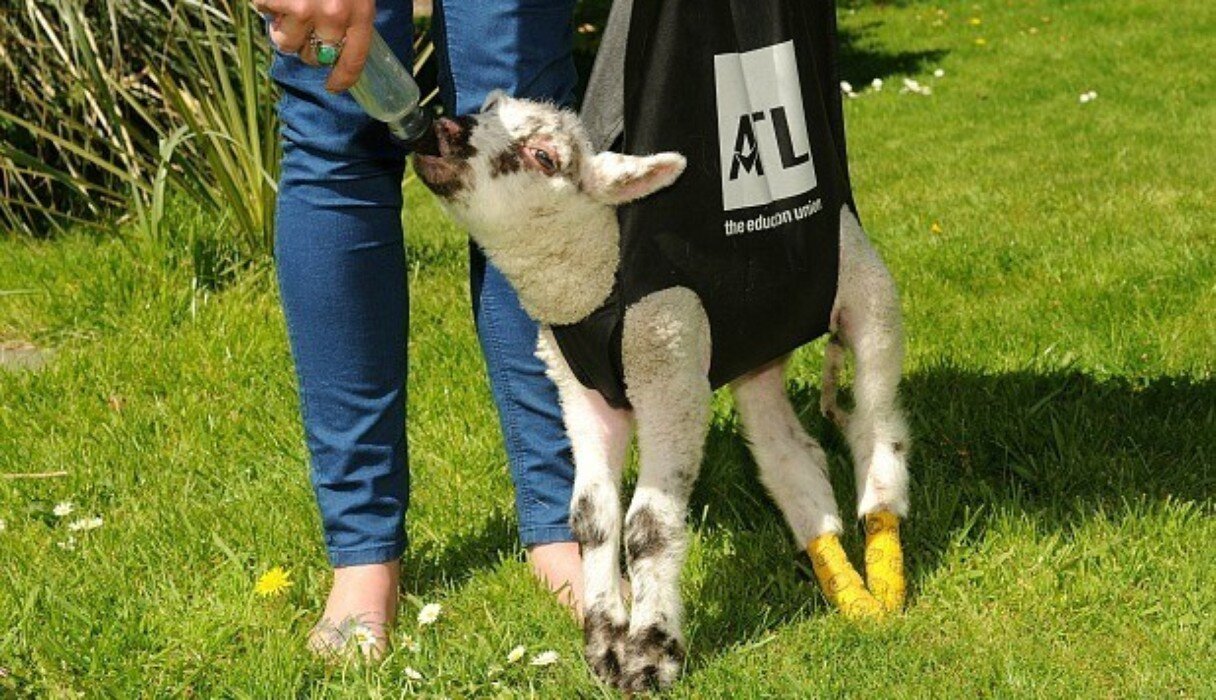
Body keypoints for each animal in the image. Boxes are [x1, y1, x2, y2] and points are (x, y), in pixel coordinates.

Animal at [413, 93, 911, 692]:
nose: (443, 129)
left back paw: (882, 568)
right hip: (753, 349)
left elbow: (648, 525)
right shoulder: (580, 397)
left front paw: (652, 653)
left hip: (870, 299)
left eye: (544, 156)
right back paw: (833, 568)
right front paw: (605, 643)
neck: (593, 282)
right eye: (488, 108)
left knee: (878, 429)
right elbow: (592, 516)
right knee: (789, 454)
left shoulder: (668, 369)